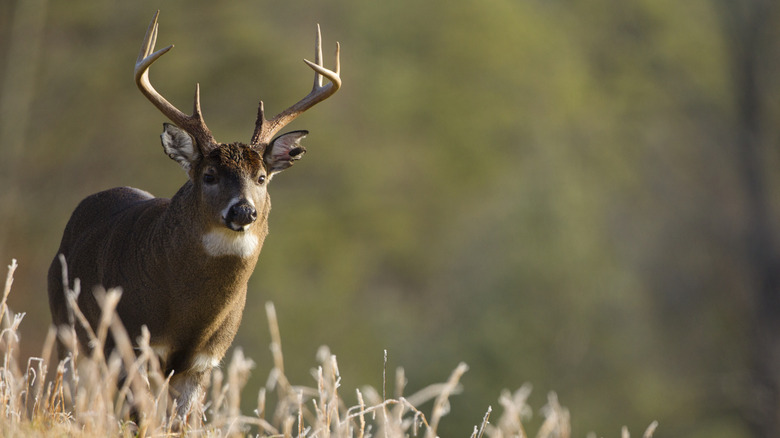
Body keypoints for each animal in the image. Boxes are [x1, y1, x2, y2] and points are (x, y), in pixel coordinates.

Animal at [48, 10, 342, 416]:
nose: (244, 210)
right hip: (69, 333)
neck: (188, 317)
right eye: (209, 175)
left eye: (262, 176)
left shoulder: (204, 362)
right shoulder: (132, 345)